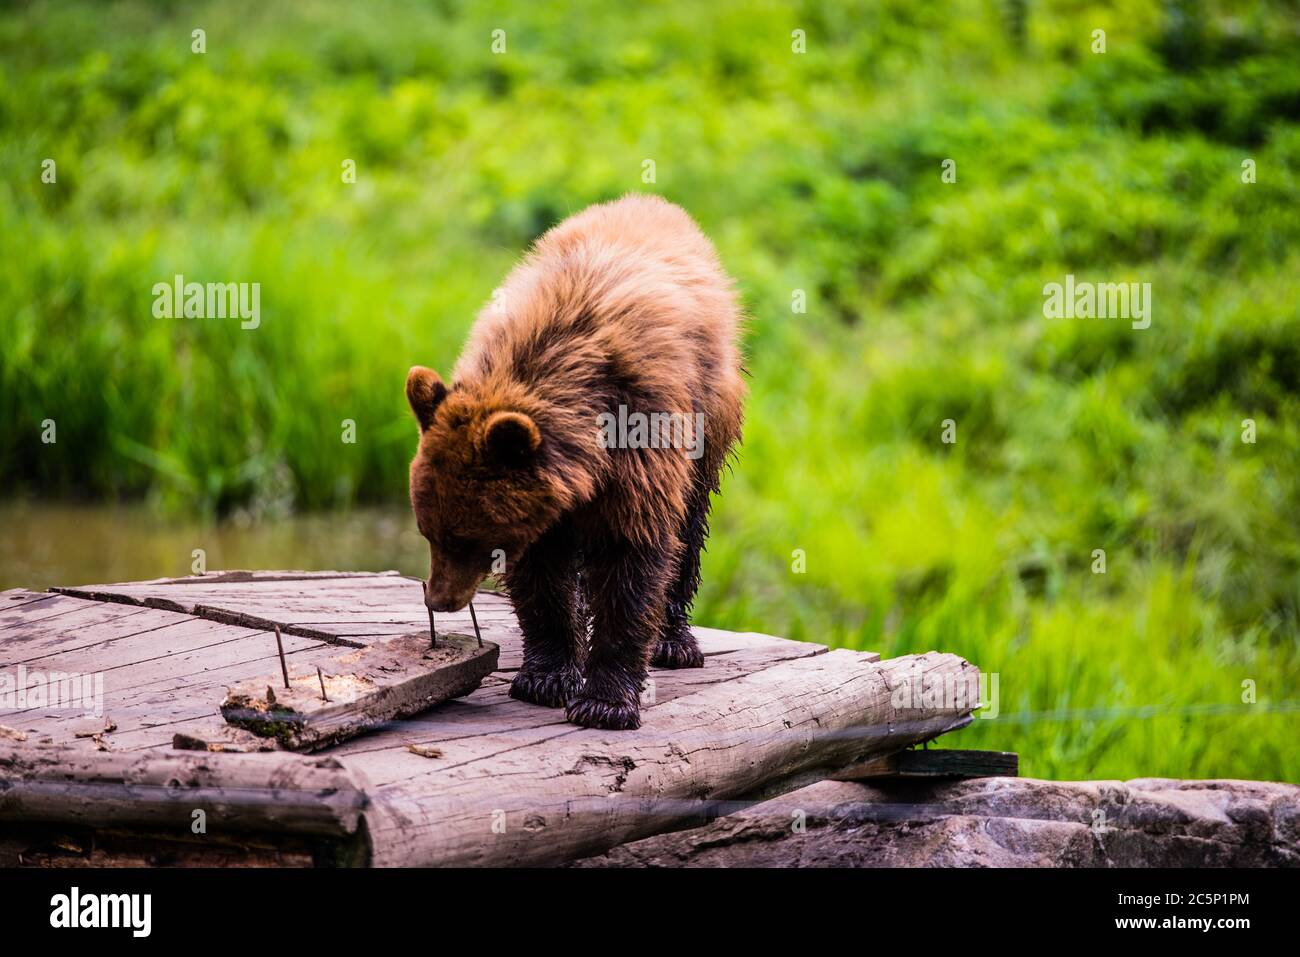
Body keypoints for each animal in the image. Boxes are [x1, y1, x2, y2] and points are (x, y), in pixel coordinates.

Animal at [406, 194, 745, 730]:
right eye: (429, 532)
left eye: (465, 538)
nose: (439, 598)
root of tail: (656, 203)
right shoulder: (544, 498)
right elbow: (542, 572)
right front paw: (546, 676)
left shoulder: (641, 435)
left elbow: (635, 552)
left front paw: (605, 701)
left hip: (710, 418)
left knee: (689, 526)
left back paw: (675, 641)